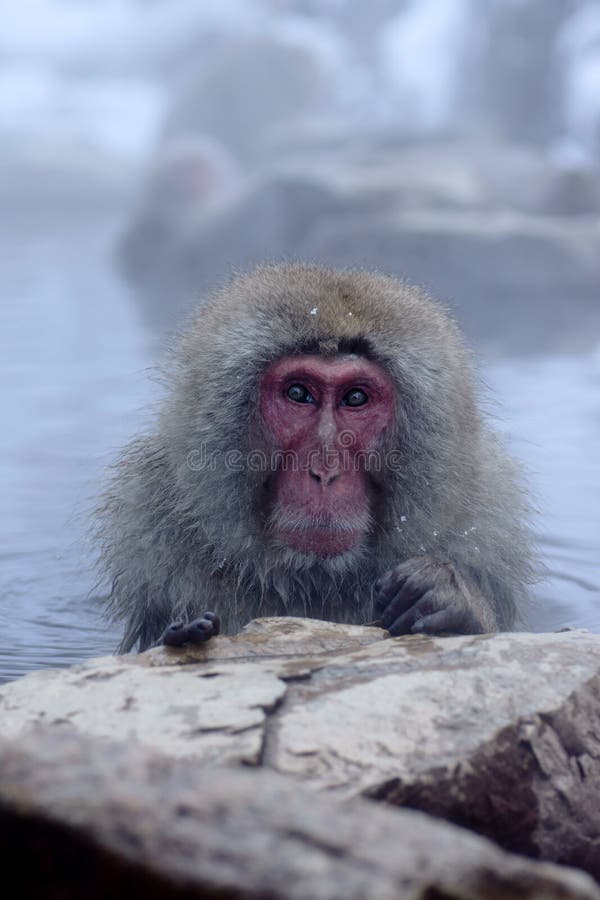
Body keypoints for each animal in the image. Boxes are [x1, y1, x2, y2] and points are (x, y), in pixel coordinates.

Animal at [97, 263, 536, 652]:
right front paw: (187, 634)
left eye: (355, 398)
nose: (324, 471)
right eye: (298, 394)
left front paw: (451, 600)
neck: (315, 580)